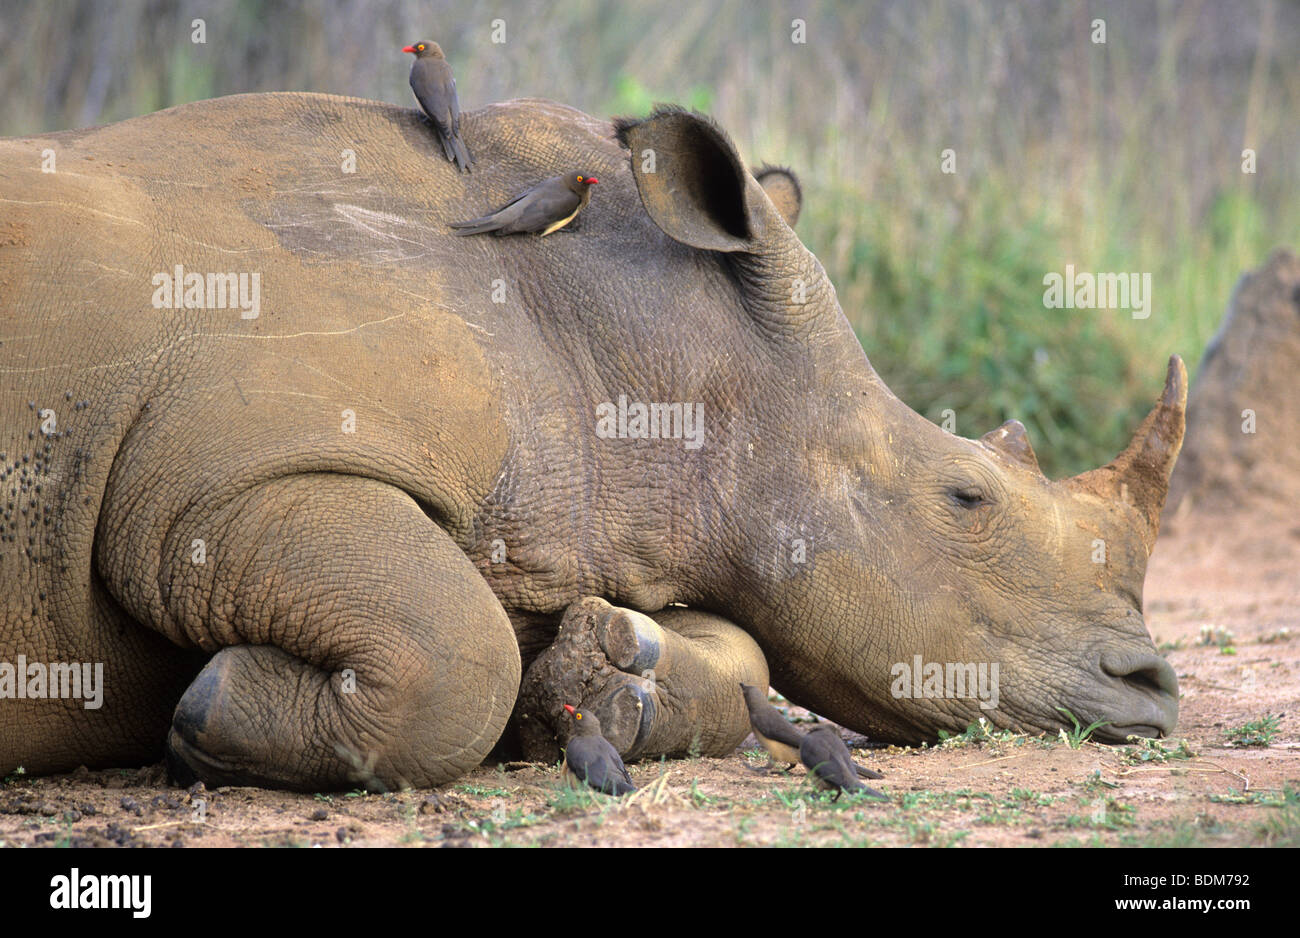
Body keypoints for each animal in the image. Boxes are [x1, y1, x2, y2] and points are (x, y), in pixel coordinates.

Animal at [0, 93, 1185, 791]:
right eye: (963, 498)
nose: (1153, 689)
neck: (650, 351)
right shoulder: (204, 486)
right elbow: (458, 649)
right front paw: (207, 708)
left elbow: (736, 645)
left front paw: (612, 681)